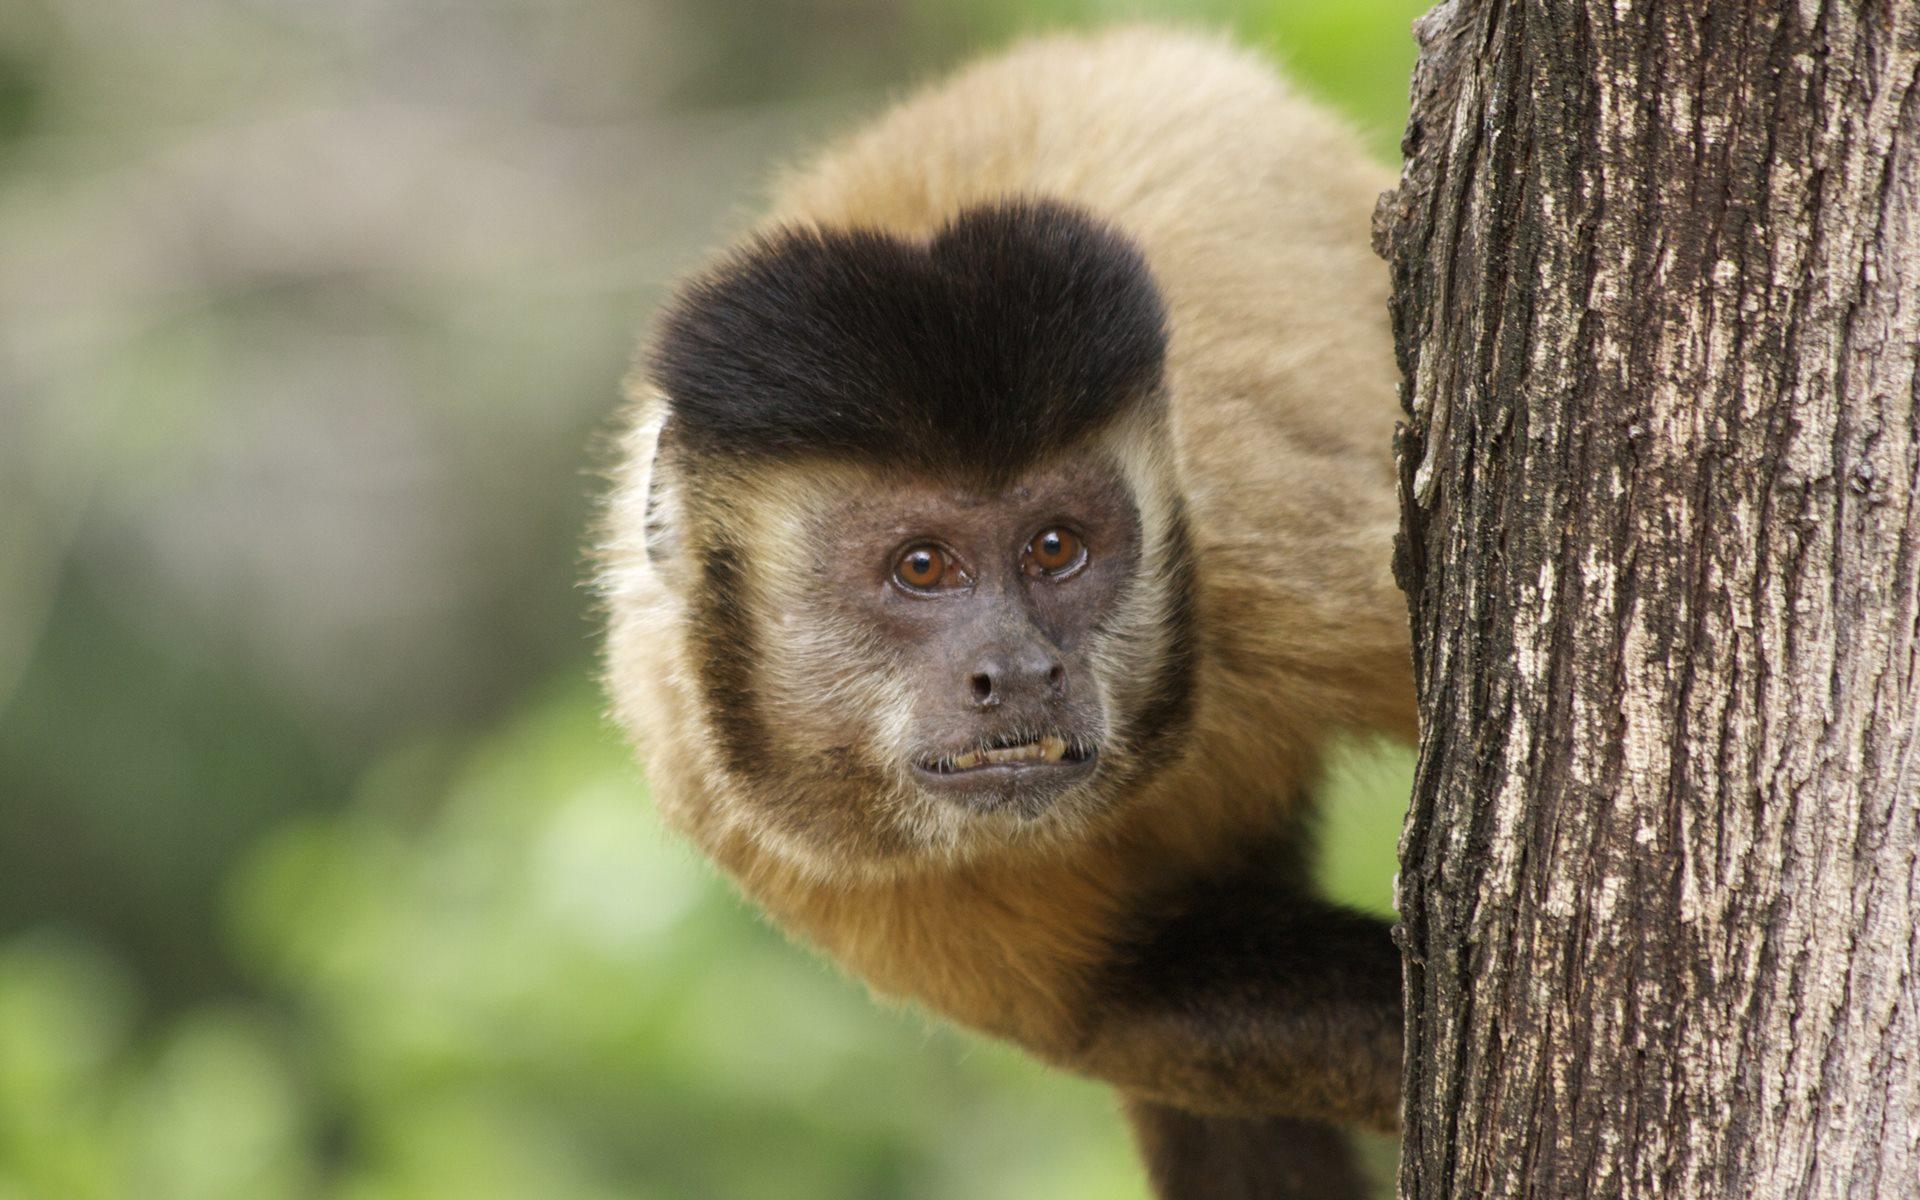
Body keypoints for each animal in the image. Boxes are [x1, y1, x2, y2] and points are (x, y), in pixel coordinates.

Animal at [598, 26, 1413, 1200]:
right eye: (921, 568)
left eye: (1056, 549)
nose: (1020, 672)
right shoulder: (738, 804)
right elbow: (1137, 999)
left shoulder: (1272, 558)